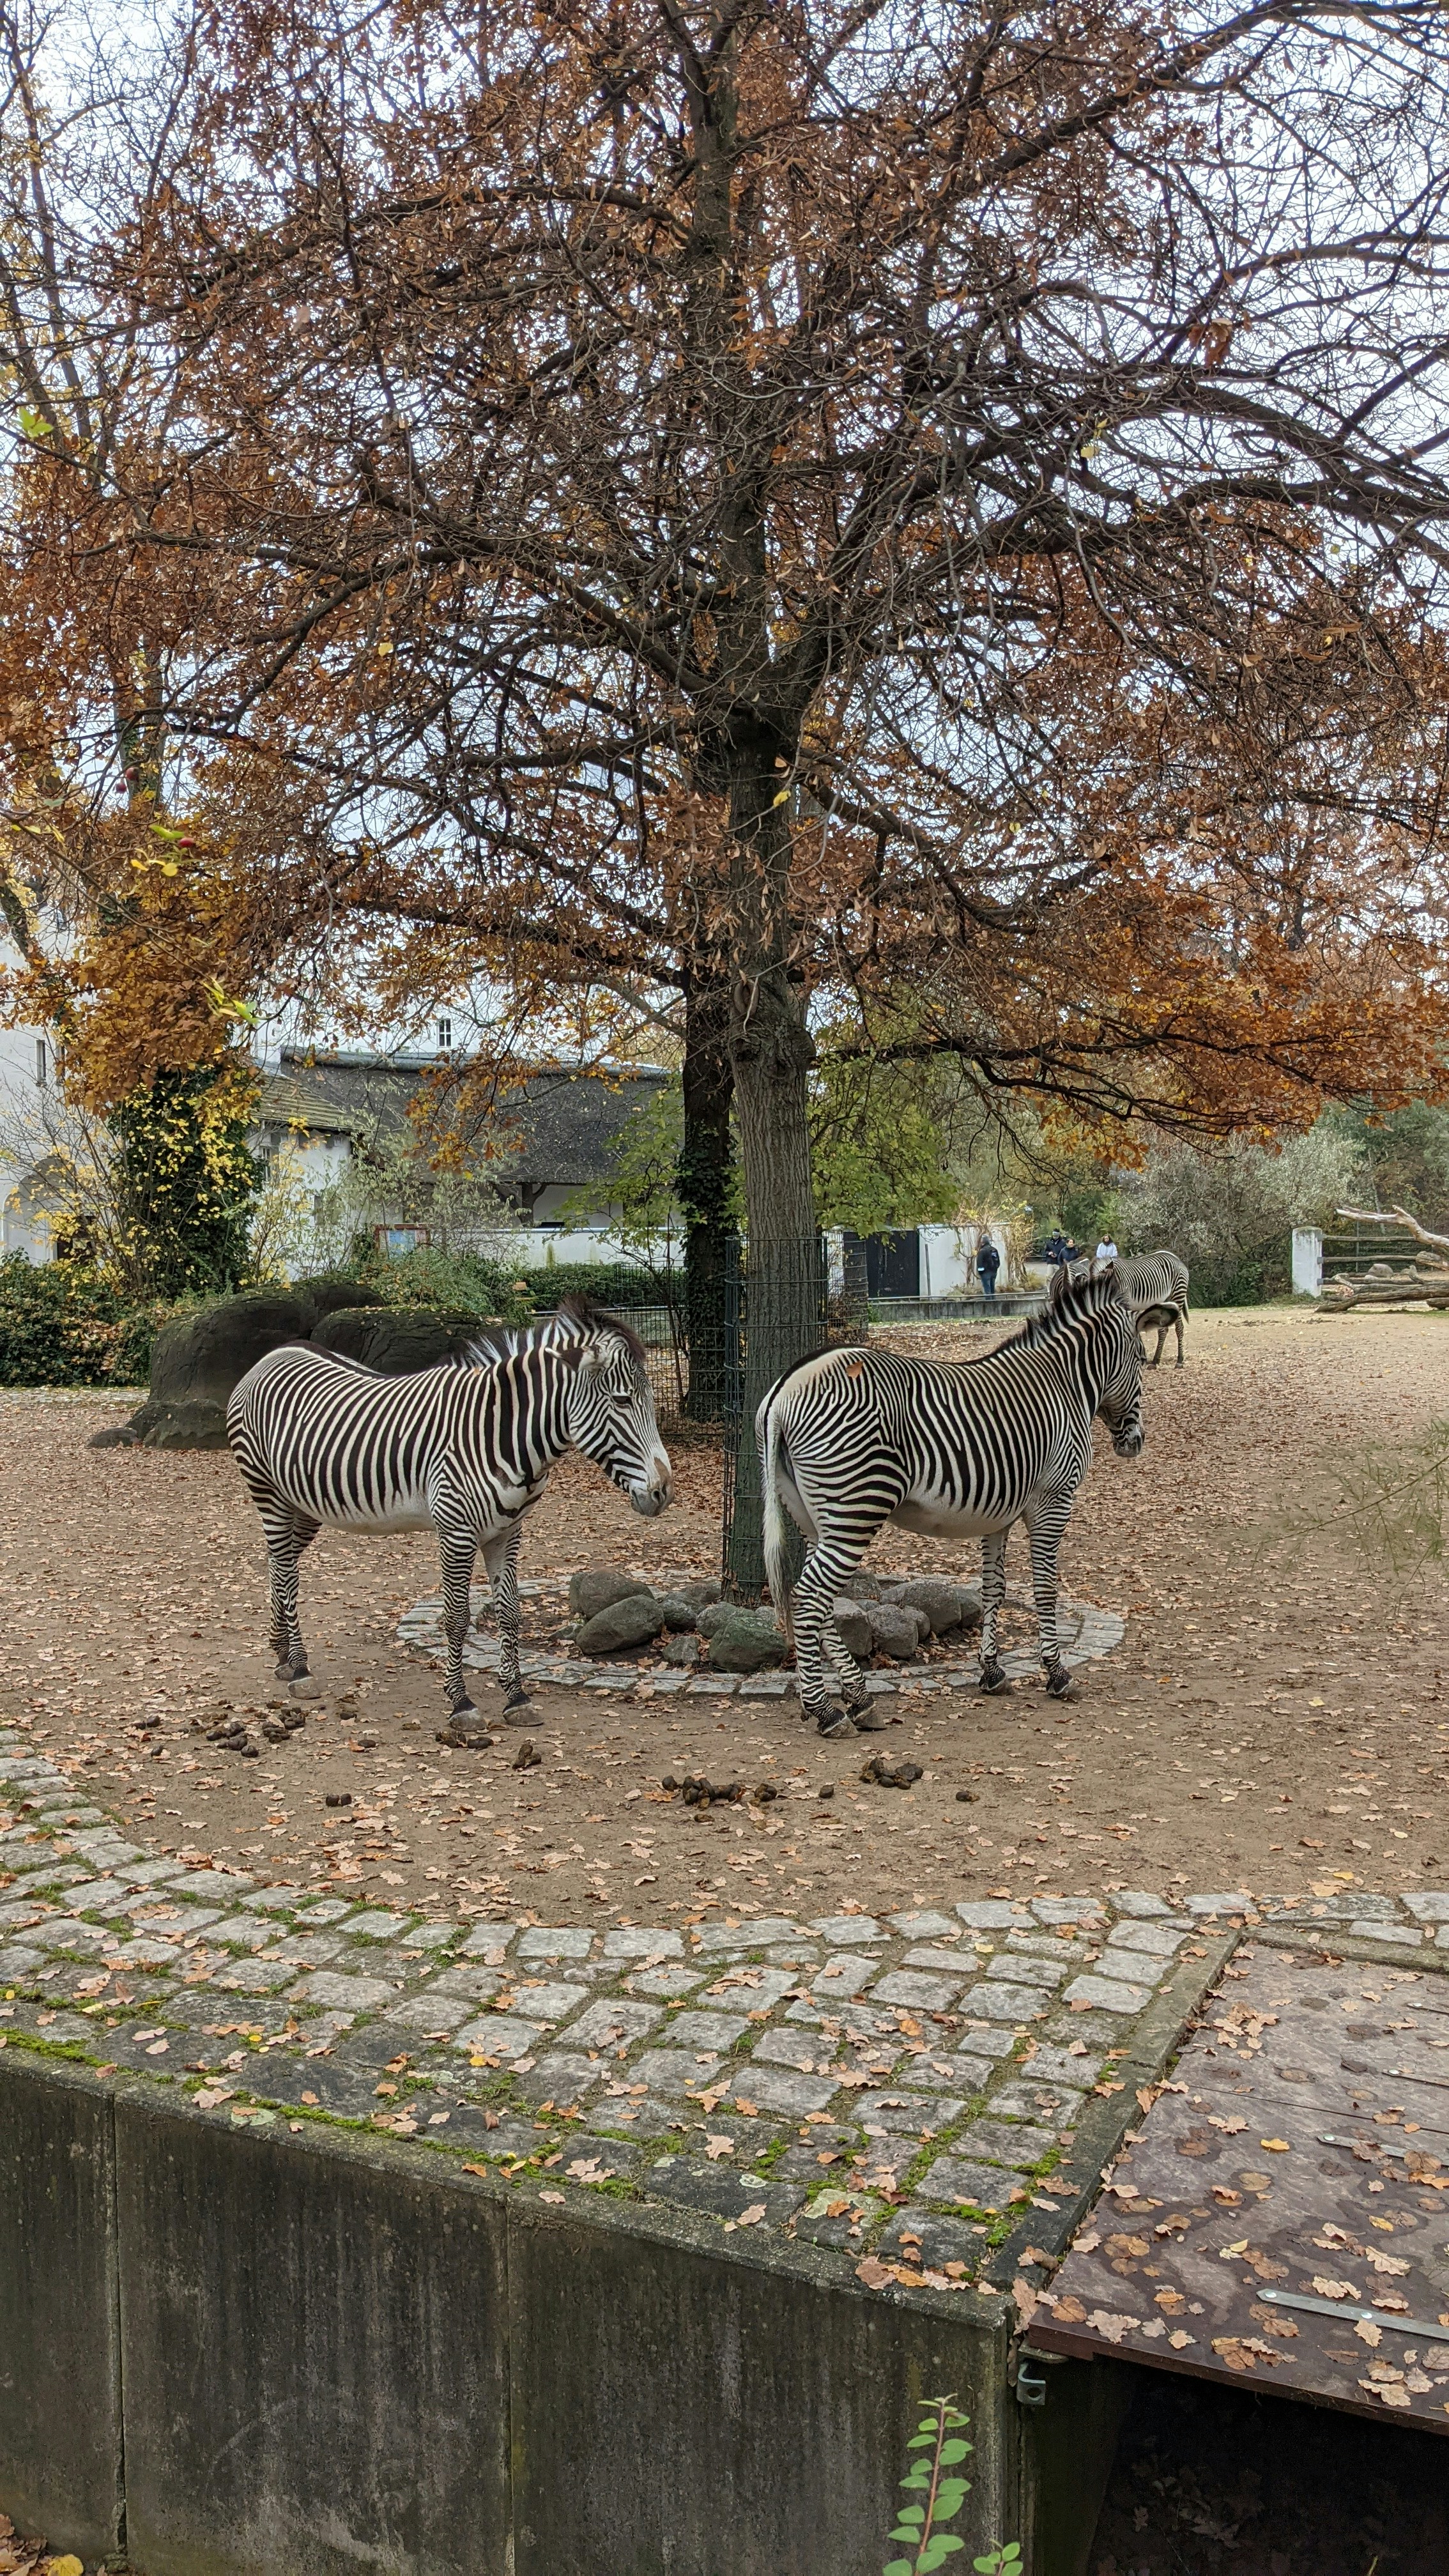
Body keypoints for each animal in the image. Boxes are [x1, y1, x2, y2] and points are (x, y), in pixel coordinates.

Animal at [226, 1298, 672, 1724]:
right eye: (622, 1400)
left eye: (651, 1400)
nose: (664, 1492)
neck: (501, 1434)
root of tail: (276, 1353)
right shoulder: (456, 1530)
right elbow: (456, 1618)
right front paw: (462, 1703)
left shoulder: (507, 1532)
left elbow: (510, 1615)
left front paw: (517, 1698)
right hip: (267, 1492)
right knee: (286, 1571)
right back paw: (301, 1669)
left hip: (303, 1505)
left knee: (280, 1565)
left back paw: (283, 1656)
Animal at [757, 1265, 1144, 1736]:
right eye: (1142, 1356)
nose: (1135, 1443)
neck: (1062, 1385)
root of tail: (785, 1388)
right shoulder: (1053, 1500)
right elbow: (1046, 1587)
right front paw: (1057, 1674)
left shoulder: (1000, 1515)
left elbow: (993, 1589)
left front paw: (992, 1673)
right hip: (856, 1510)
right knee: (808, 1597)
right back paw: (827, 1712)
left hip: (813, 1518)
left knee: (820, 1599)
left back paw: (859, 1701)